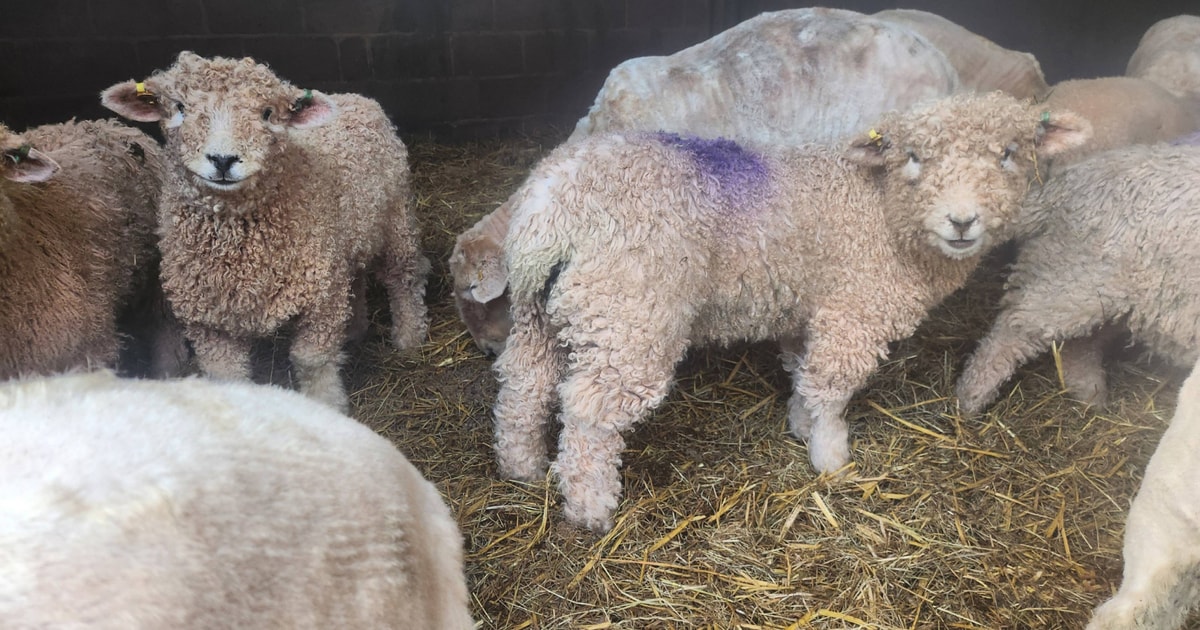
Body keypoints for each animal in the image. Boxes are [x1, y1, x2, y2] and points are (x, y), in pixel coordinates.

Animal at [100, 51, 430, 412]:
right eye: (179, 108)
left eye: (267, 113)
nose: (223, 159)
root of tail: (356, 98)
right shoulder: (209, 324)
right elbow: (227, 377)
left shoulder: (320, 299)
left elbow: (312, 362)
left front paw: (327, 407)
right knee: (354, 277)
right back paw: (354, 330)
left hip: (397, 220)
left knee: (403, 278)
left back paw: (410, 338)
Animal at [492, 91, 1093, 532]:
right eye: (914, 157)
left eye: (1008, 153)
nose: (962, 221)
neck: (883, 211)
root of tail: (554, 206)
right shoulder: (854, 311)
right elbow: (832, 386)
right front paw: (831, 460)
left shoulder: (812, 310)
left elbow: (804, 373)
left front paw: (801, 426)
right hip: (629, 315)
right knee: (588, 416)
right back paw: (590, 509)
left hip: (542, 312)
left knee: (523, 386)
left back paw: (520, 468)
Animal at [955, 143, 1200, 416]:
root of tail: (1070, 181)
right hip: (1072, 282)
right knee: (1008, 332)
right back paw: (970, 399)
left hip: (1107, 294)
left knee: (1078, 348)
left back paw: (1091, 397)